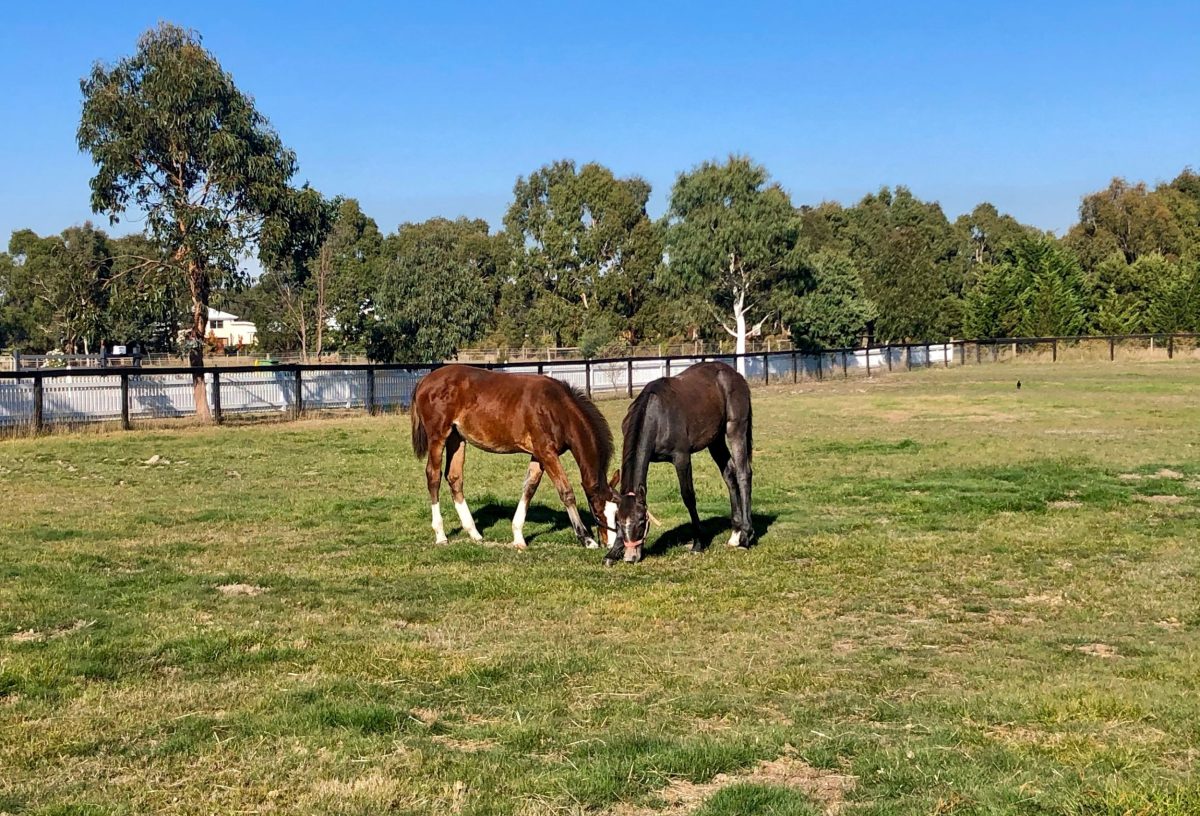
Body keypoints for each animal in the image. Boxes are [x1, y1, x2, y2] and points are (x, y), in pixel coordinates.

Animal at [411, 365, 617, 550]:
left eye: (618, 514)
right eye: (598, 514)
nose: (611, 545)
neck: (557, 408)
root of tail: (424, 381)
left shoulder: (538, 455)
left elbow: (529, 488)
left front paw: (518, 537)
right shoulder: (546, 452)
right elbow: (566, 492)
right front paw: (586, 539)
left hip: (457, 437)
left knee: (454, 477)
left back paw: (474, 533)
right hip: (438, 436)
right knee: (433, 476)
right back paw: (441, 535)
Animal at [603, 361, 753, 565]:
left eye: (642, 521)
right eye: (618, 522)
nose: (630, 557)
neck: (656, 416)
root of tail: (734, 374)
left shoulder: (682, 458)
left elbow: (688, 497)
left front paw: (698, 543)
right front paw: (613, 552)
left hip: (735, 429)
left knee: (743, 473)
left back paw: (745, 536)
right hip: (715, 440)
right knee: (729, 474)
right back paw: (735, 533)